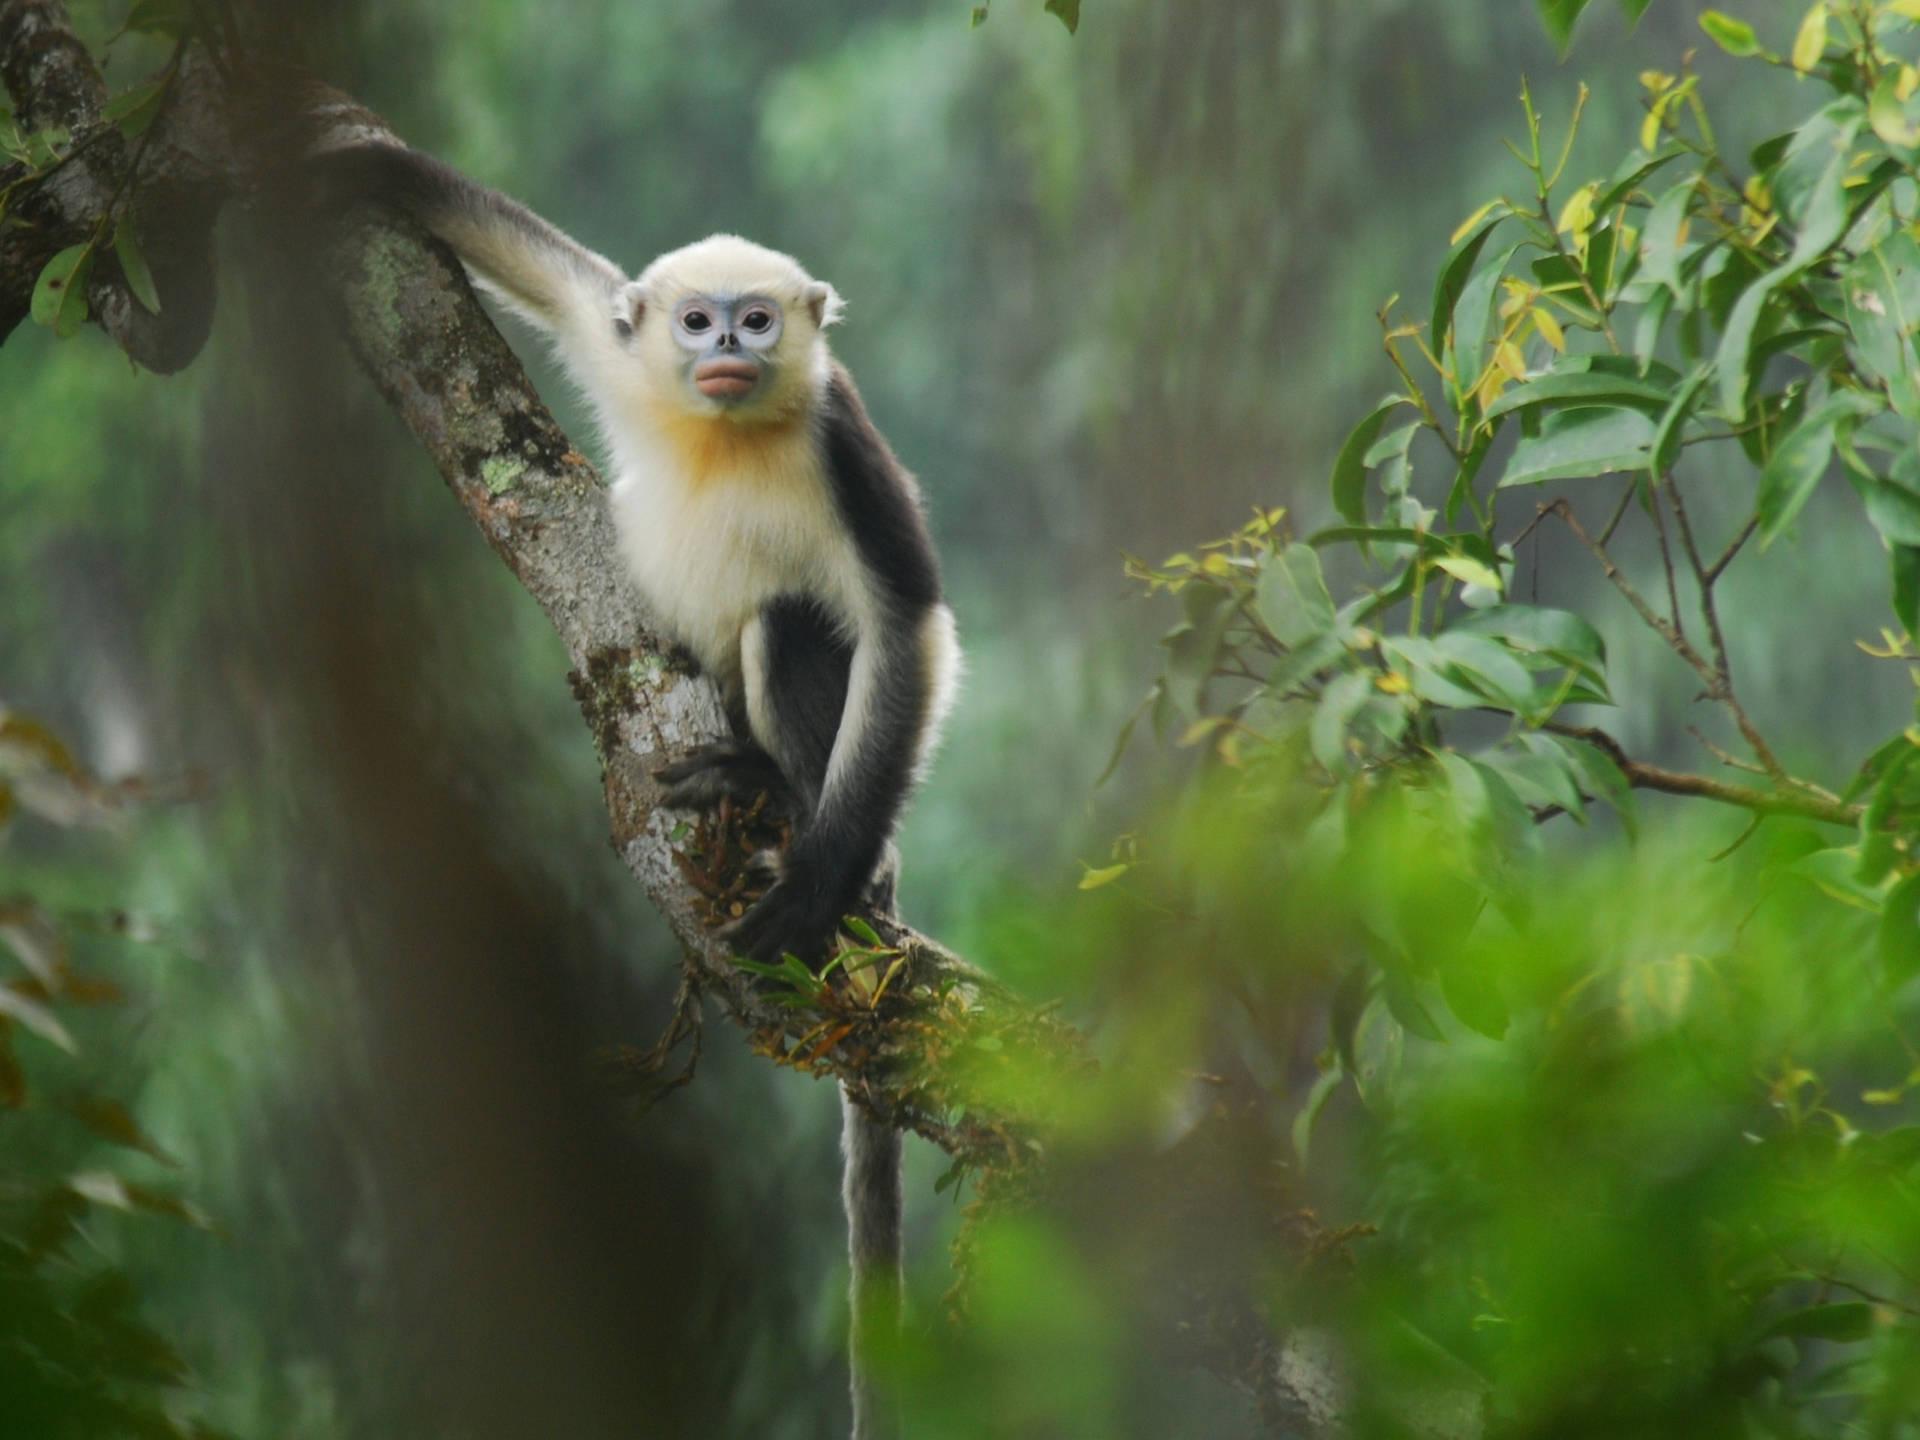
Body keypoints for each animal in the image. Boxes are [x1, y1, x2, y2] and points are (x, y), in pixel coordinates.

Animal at [314, 135, 956, 1440]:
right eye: (700, 321)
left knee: (789, 623)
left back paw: (813, 826)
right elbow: (556, 274)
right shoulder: (625, 352)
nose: (724, 352)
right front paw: (356, 166)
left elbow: (906, 623)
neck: (729, 432)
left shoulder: (842, 439)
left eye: (758, 321)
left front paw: (816, 887)